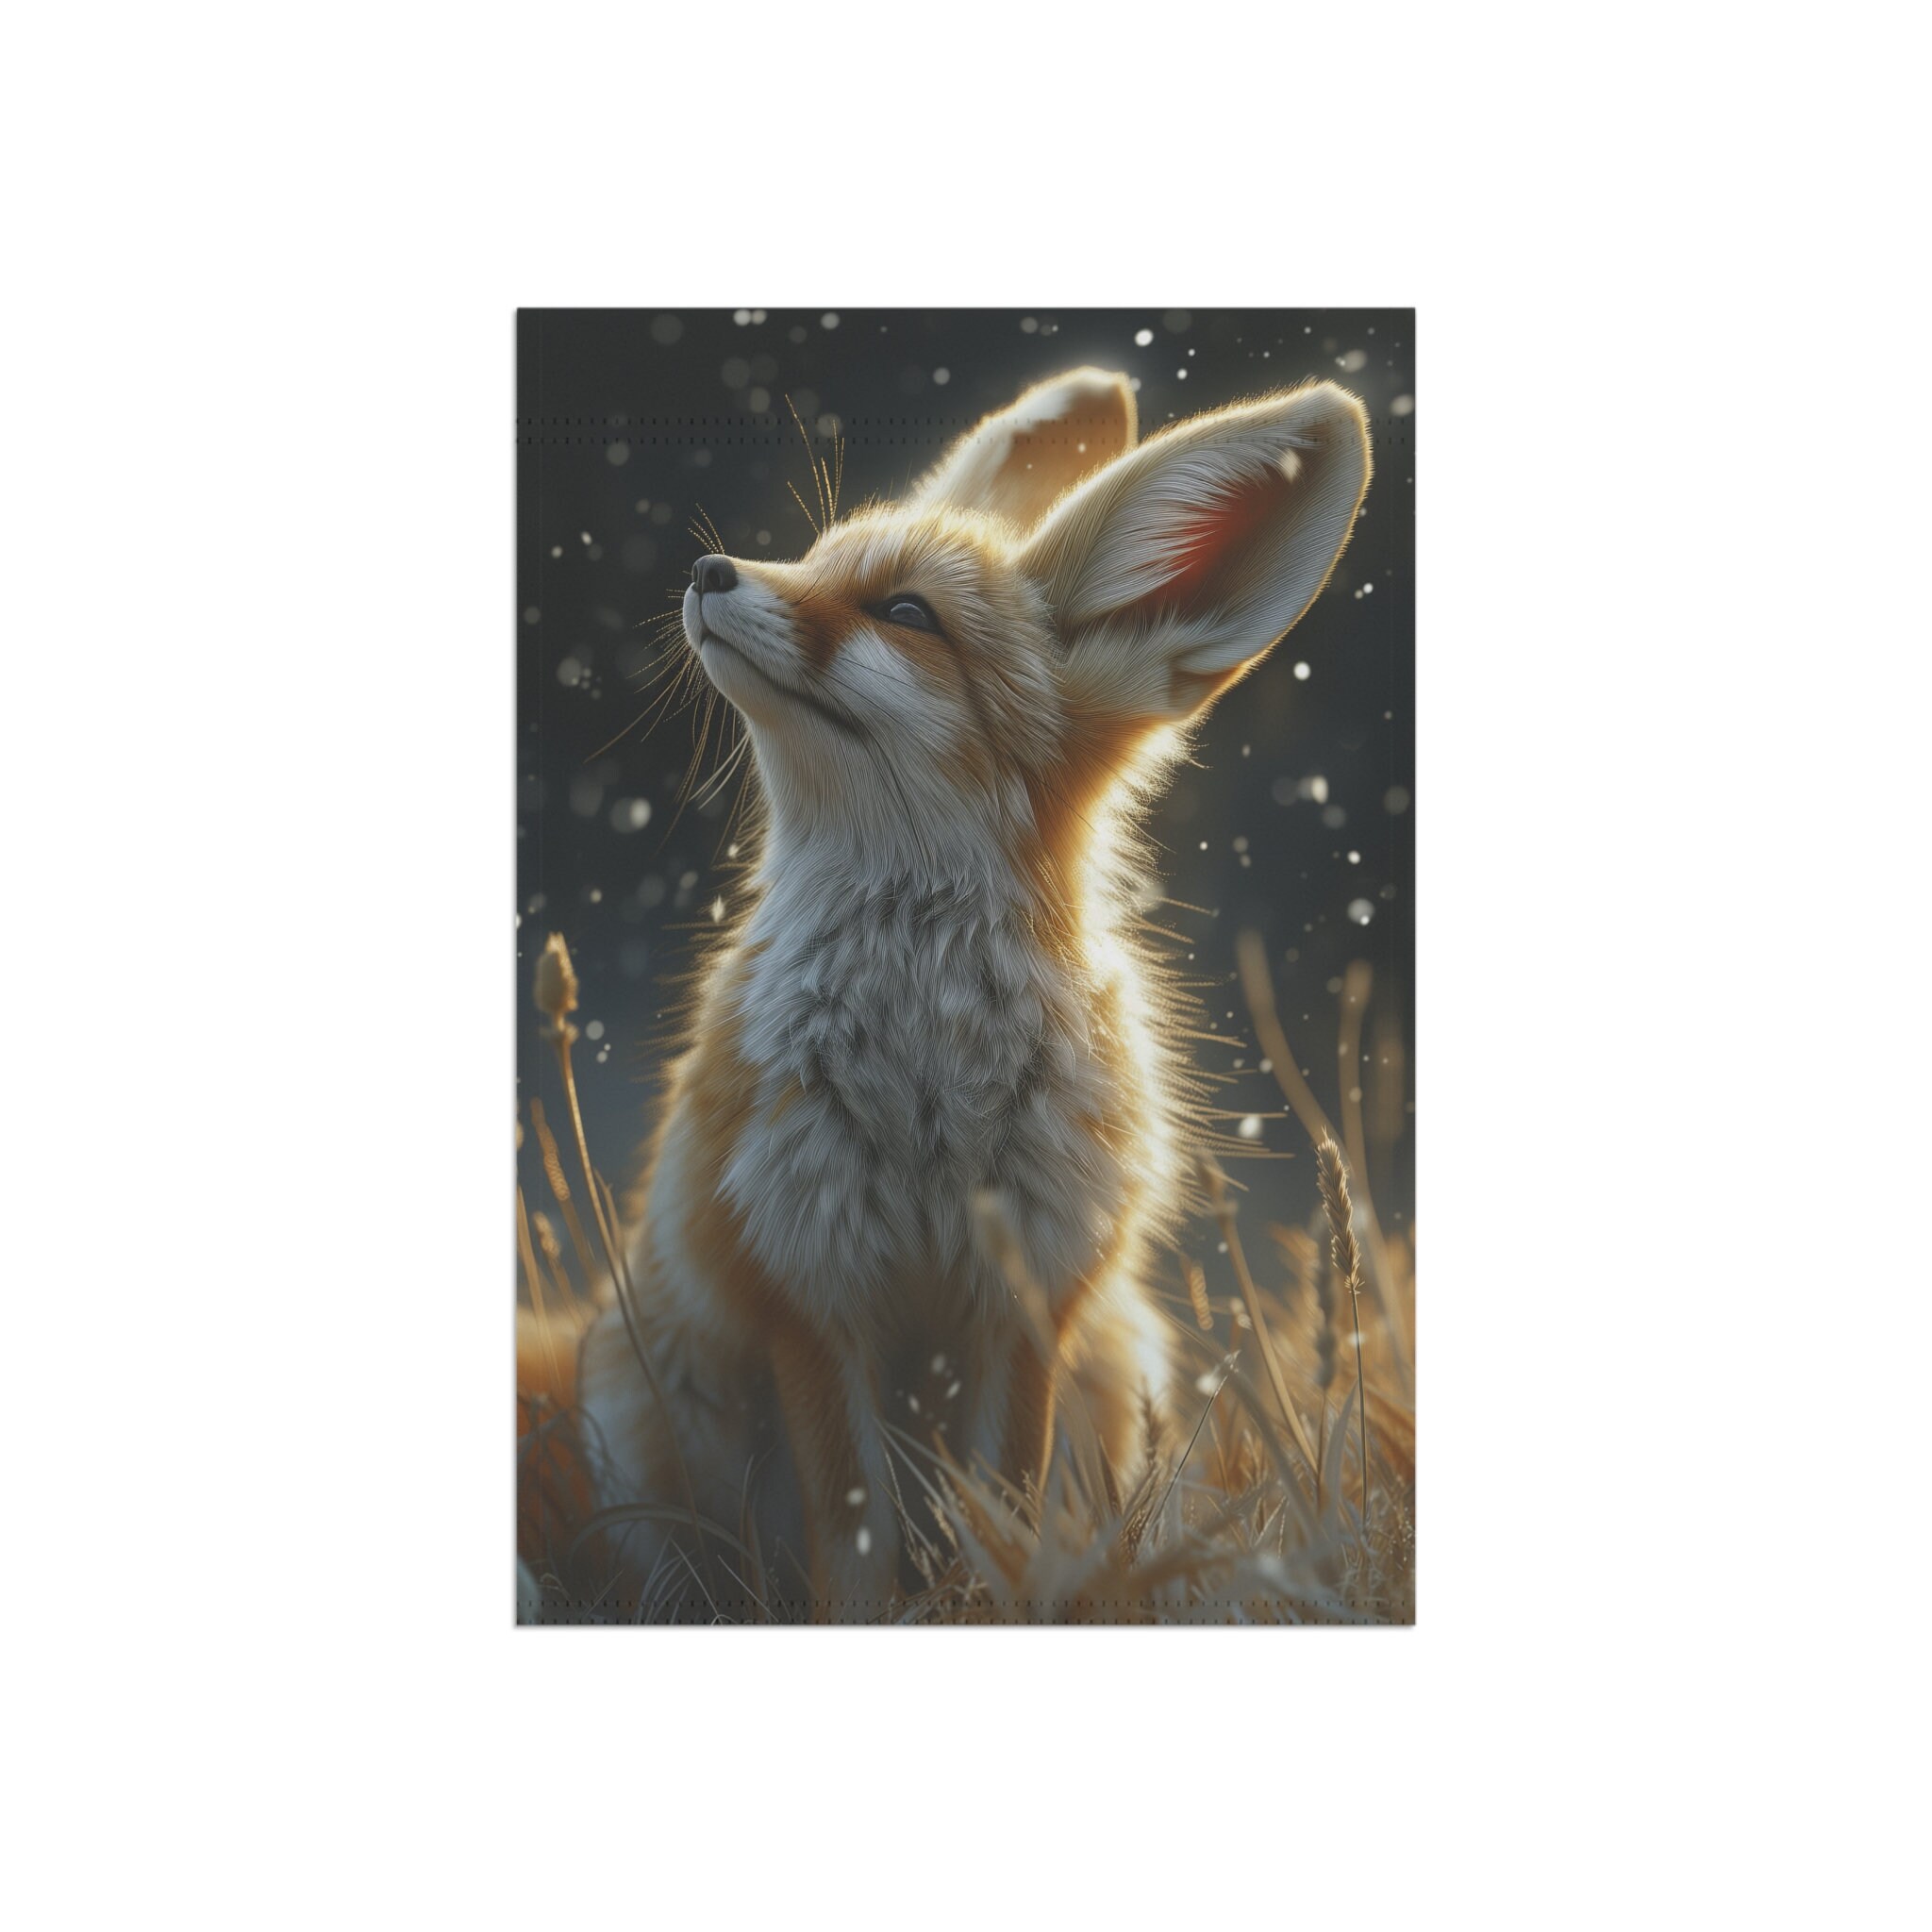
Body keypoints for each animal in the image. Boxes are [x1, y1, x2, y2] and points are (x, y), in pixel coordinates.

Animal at [568, 366, 1372, 1618]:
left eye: (904, 613)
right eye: (813, 555)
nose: (708, 570)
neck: (923, 1086)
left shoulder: (1025, 1293)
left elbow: (999, 1523)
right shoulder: (811, 1285)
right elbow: (853, 1554)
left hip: (1116, 1361)